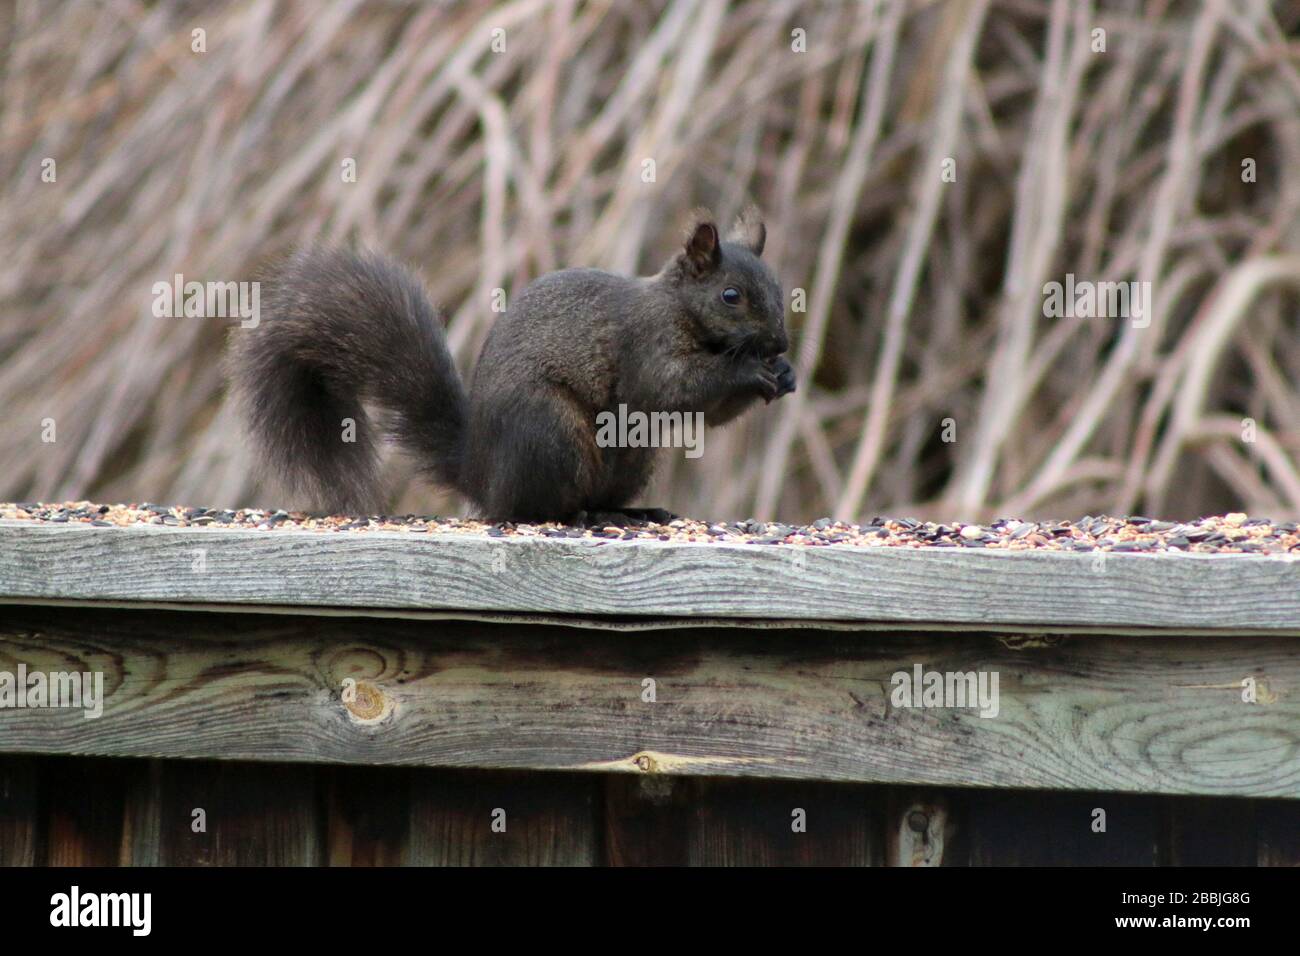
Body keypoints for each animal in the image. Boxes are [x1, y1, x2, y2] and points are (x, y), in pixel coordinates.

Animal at [228, 208, 796, 524]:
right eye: (730, 296)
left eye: (778, 287)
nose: (782, 341)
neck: (679, 307)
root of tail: (481, 474)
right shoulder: (645, 343)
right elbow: (669, 388)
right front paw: (749, 371)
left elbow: (710, 414)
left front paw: (783, 374)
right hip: (550, 431)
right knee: (533, 509)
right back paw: (583, 515)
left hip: (634, 457)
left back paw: (627, 511)